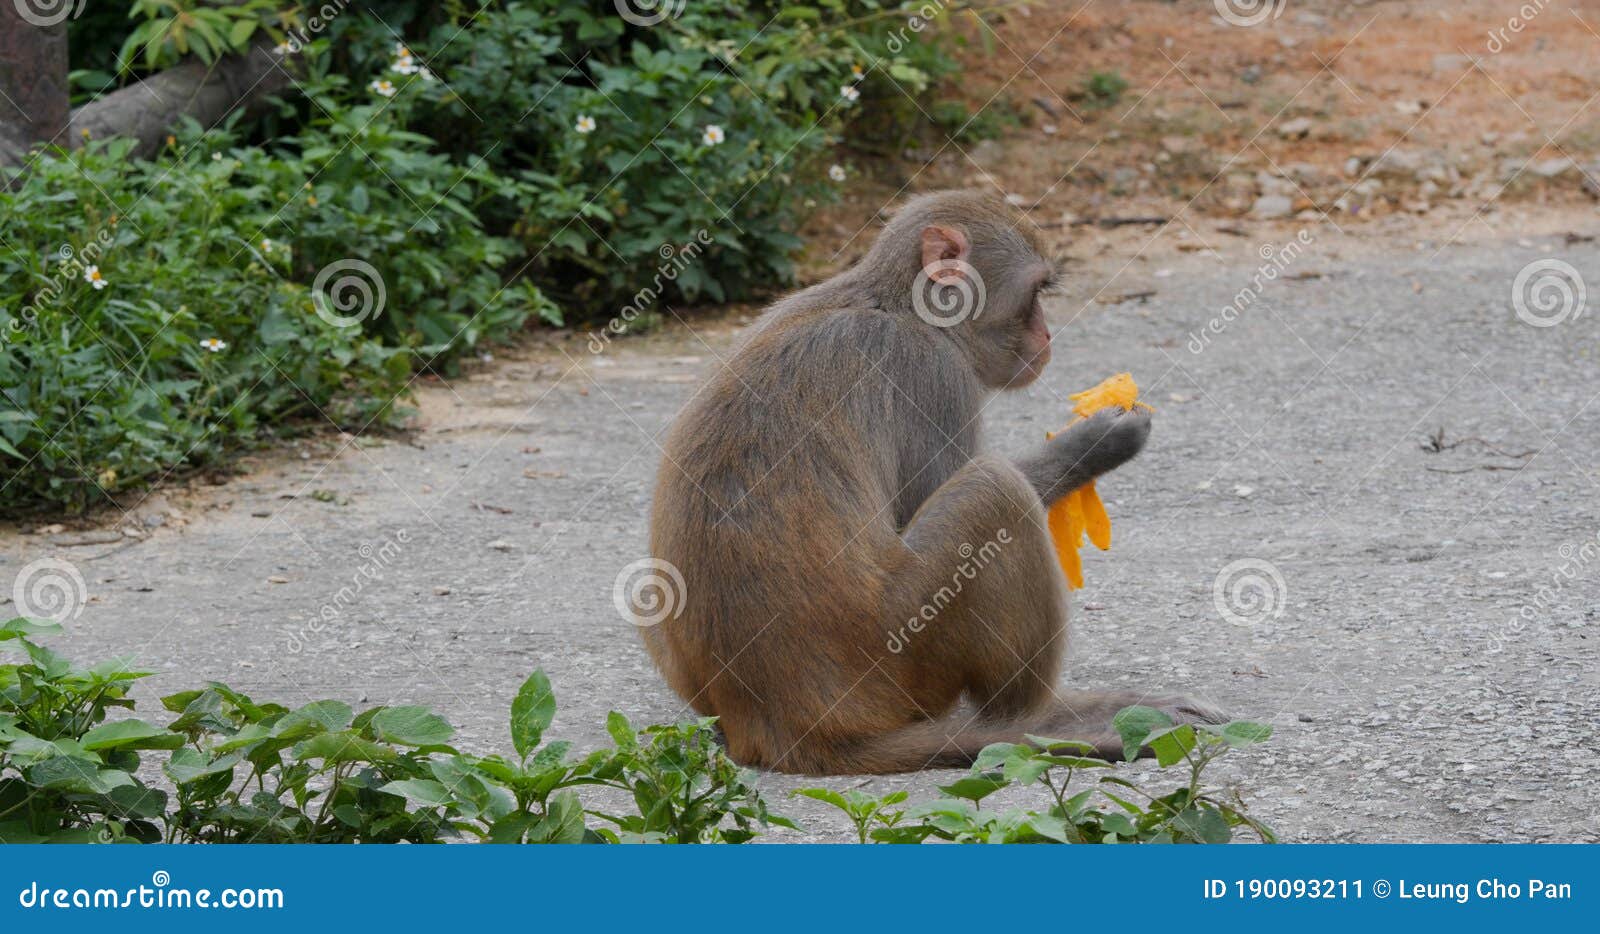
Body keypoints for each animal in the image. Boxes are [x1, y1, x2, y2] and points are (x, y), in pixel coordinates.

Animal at [640, 190, 1223, 775]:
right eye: (1035, 293)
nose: (1047, 336)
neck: (896, 306)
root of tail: (787, 724)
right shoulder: (935, 373)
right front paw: (1095, 443)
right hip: (904, 655)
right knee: (995, 489)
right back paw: (1048, 717)